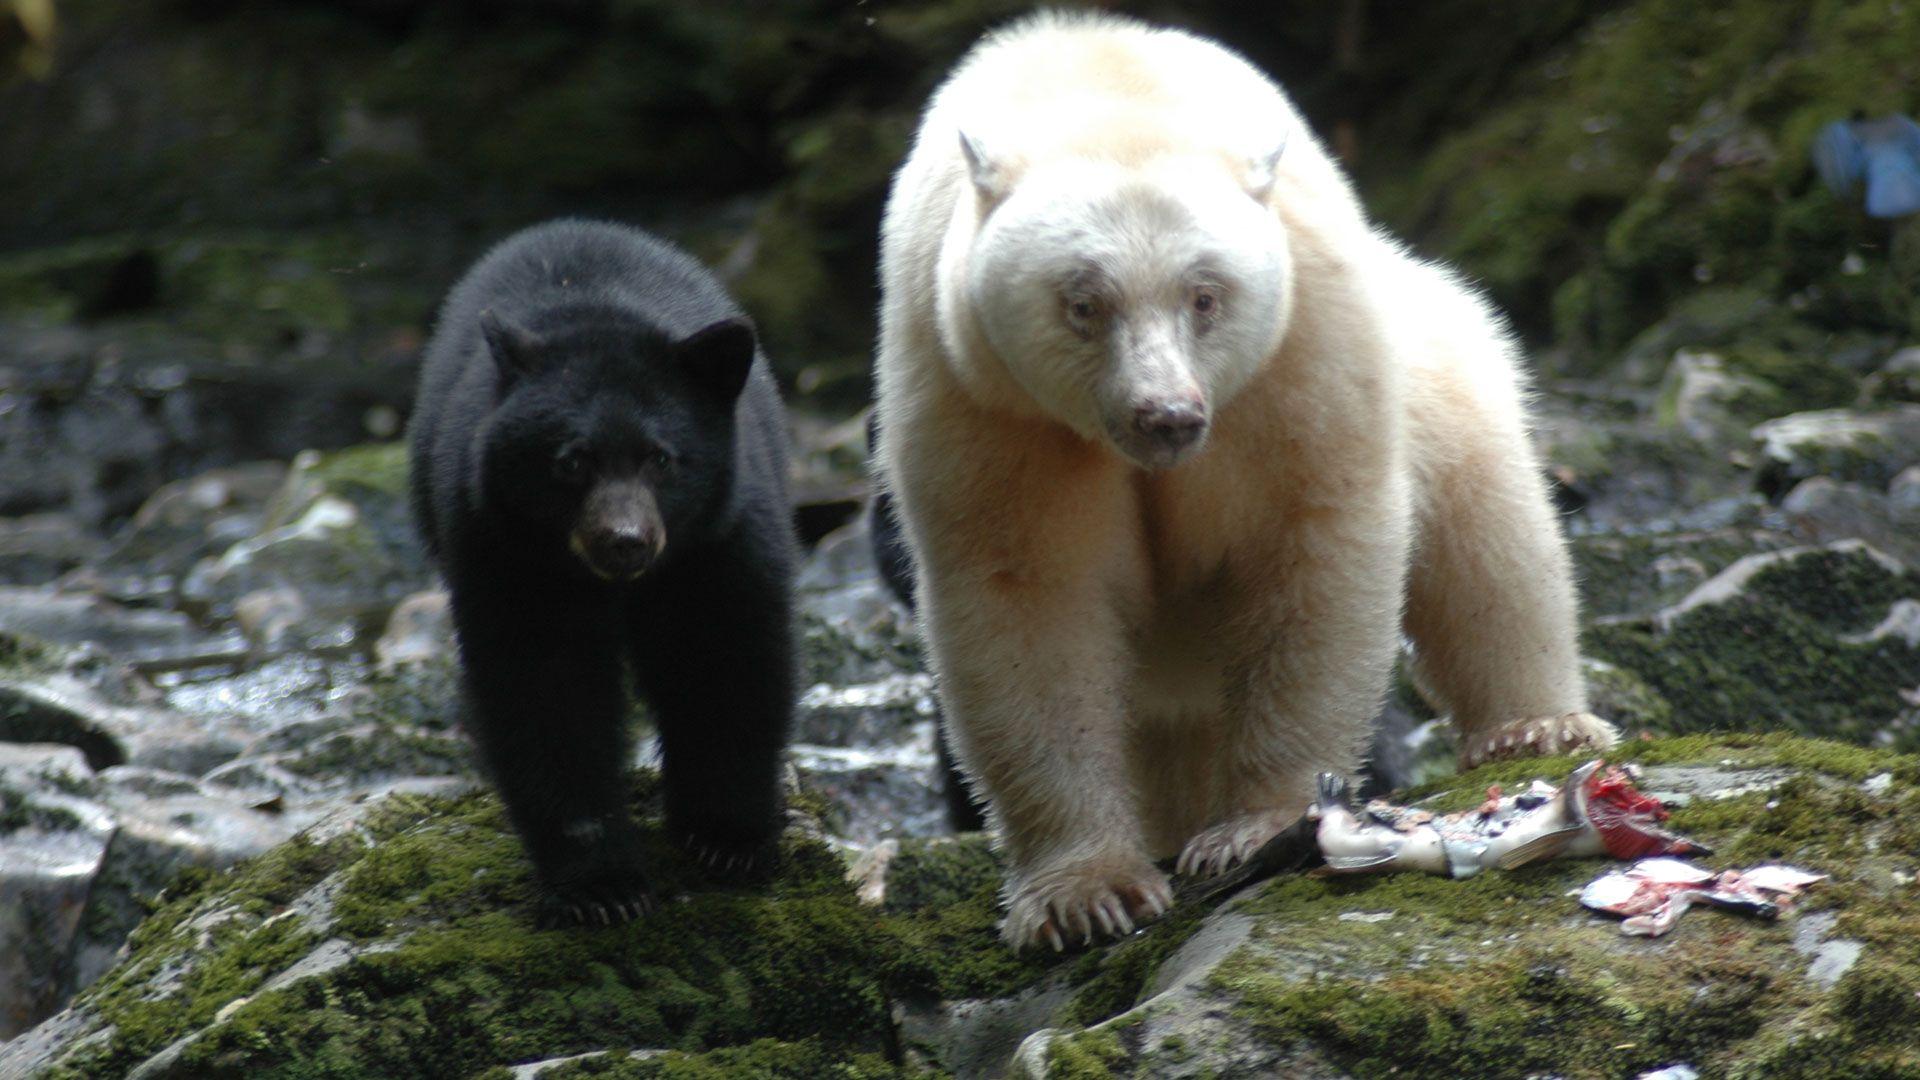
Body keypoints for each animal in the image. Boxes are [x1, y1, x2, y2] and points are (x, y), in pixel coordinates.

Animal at [408, 219, 798, 927]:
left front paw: (729, 839)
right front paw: (602, 886)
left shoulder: (719, 538)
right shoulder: (504, 548)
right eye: (572, 461)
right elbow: (545, 689)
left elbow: (725, 658)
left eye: (661, 458)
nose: (624, 542)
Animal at [872, 12, 1618, 952]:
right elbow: (1026, 596)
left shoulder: (1302, 352)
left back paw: (1532, 725)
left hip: (1438, 350)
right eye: (1083, 302)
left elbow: (1310, 540)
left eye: (1205, 295)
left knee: (1489, 537)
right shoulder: (980, 396)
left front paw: (1257, 825)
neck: (1100, 85)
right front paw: (1087, 893)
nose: (1166, 415)